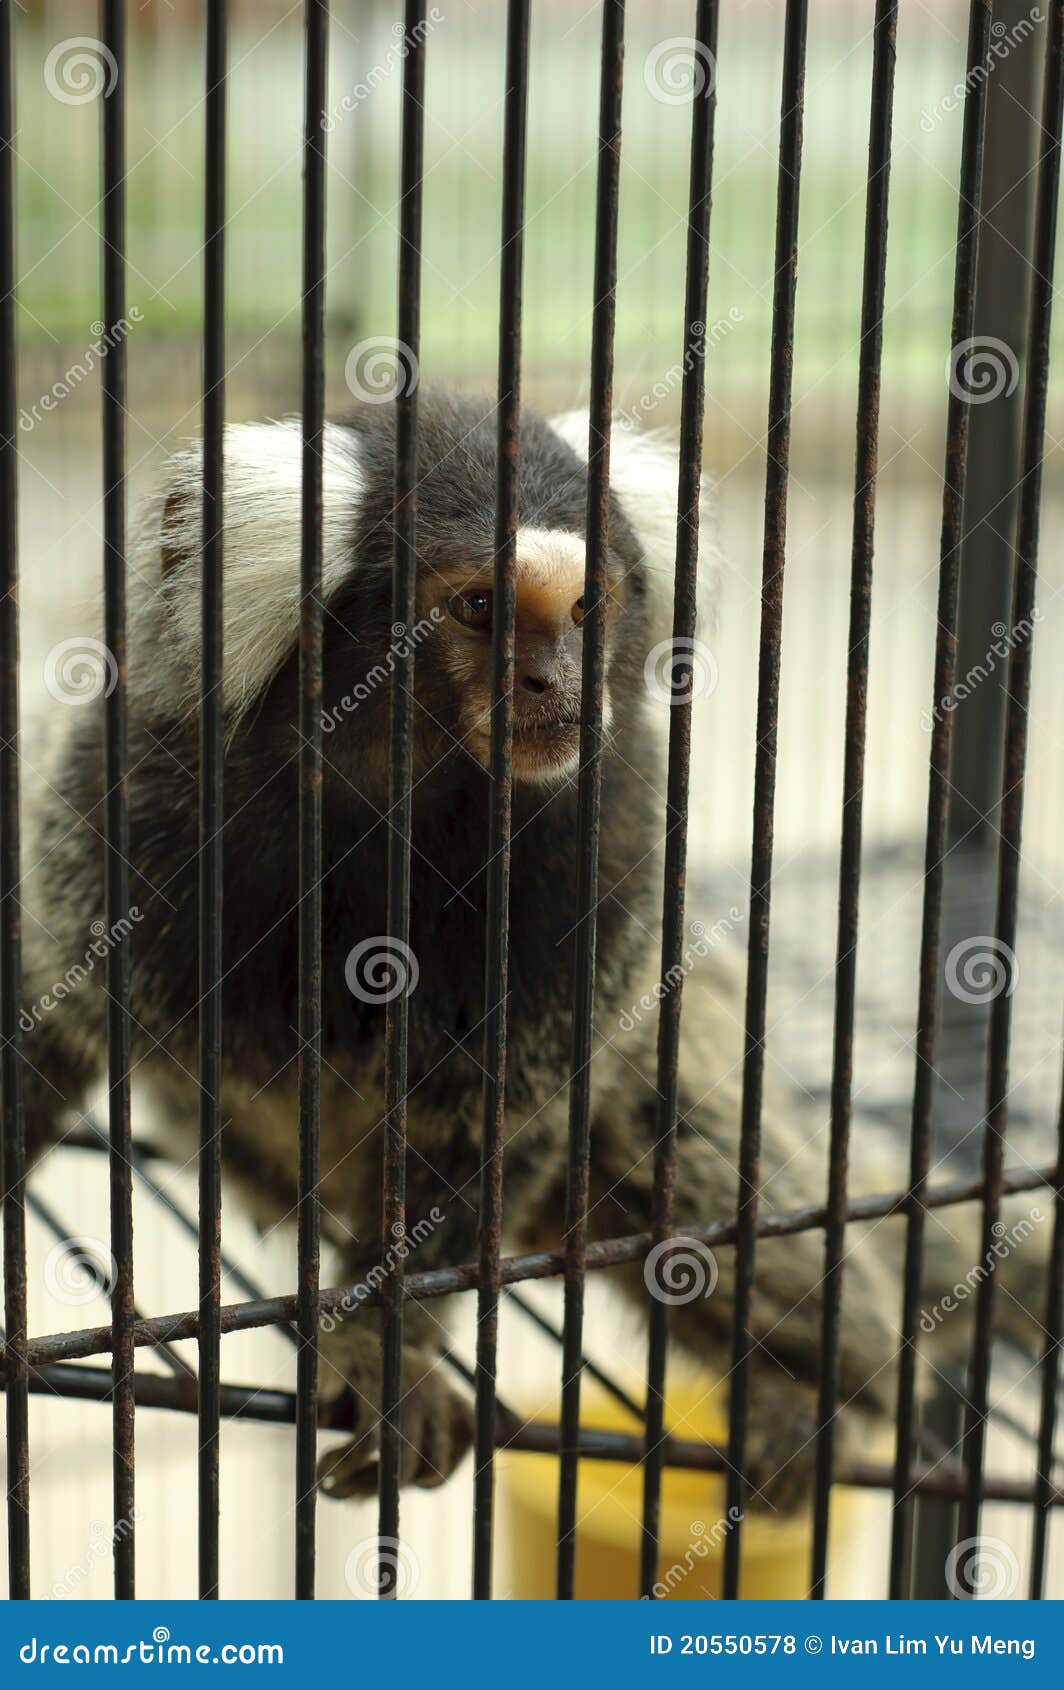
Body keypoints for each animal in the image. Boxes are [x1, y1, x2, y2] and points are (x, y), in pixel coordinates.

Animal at [13, 391, 1046, 1514]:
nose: (558, 688)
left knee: (694, 1148)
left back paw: (813, 1395)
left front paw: (383, 1356)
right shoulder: (124, 804)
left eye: (588, 609)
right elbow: (46, 1016)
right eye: (476, 607)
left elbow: (492, 1127)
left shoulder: (609, 846)